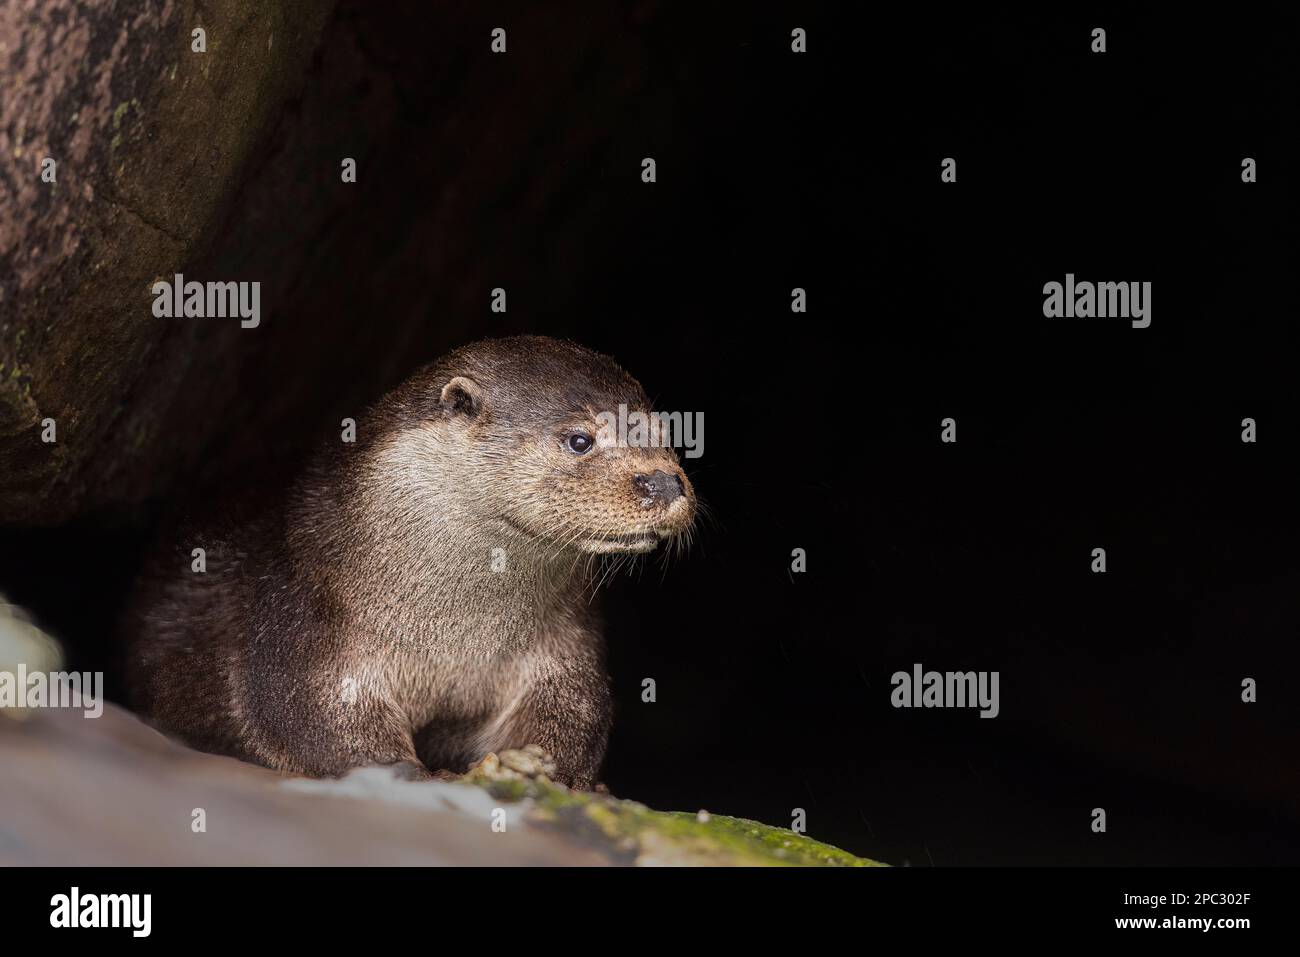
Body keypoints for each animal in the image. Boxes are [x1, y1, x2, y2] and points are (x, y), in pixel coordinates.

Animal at [124, 336, 695, 789]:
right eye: (580, 440)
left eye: (669, 438)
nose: (665, 482)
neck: (452, 639)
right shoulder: (301, 619)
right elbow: (320, 724)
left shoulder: (566, 642)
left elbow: (572, 712)